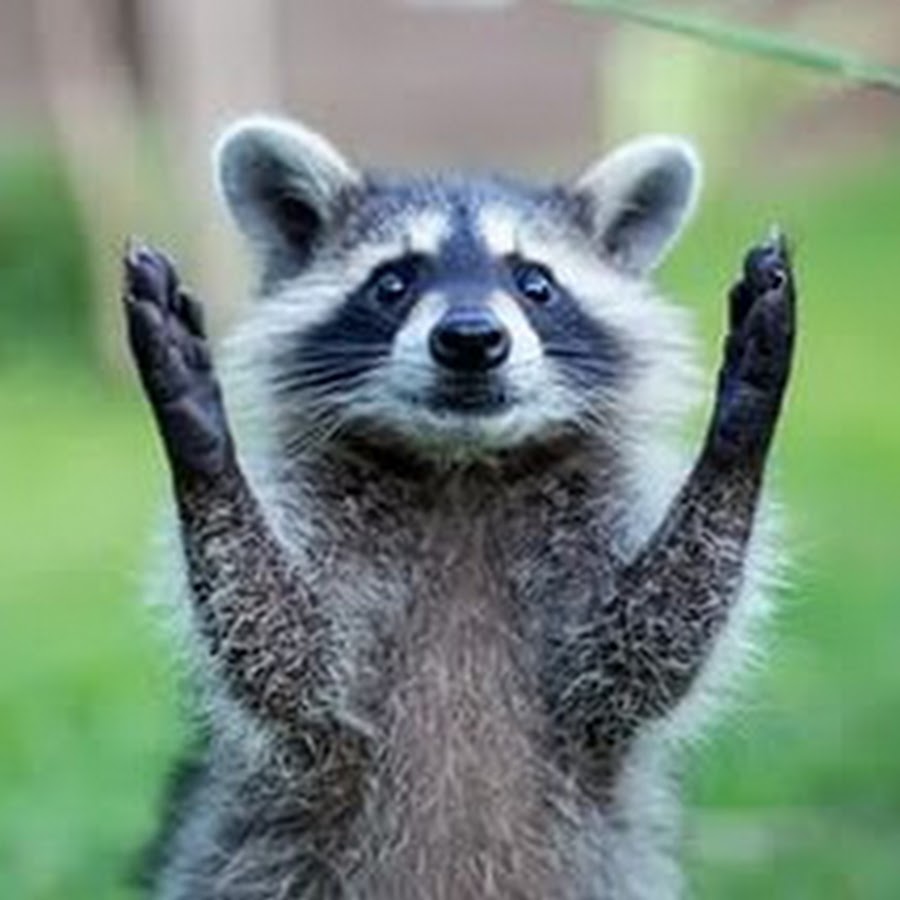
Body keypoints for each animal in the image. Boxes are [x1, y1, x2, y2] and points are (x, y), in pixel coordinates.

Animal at [125, 115, 796, 900]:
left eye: (535, 283)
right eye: (393, 282)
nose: (471, 339)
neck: (462, 470)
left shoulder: (592, 569)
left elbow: (644, 648)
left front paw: (740, 427)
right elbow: (290, 656)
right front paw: (201, 438)